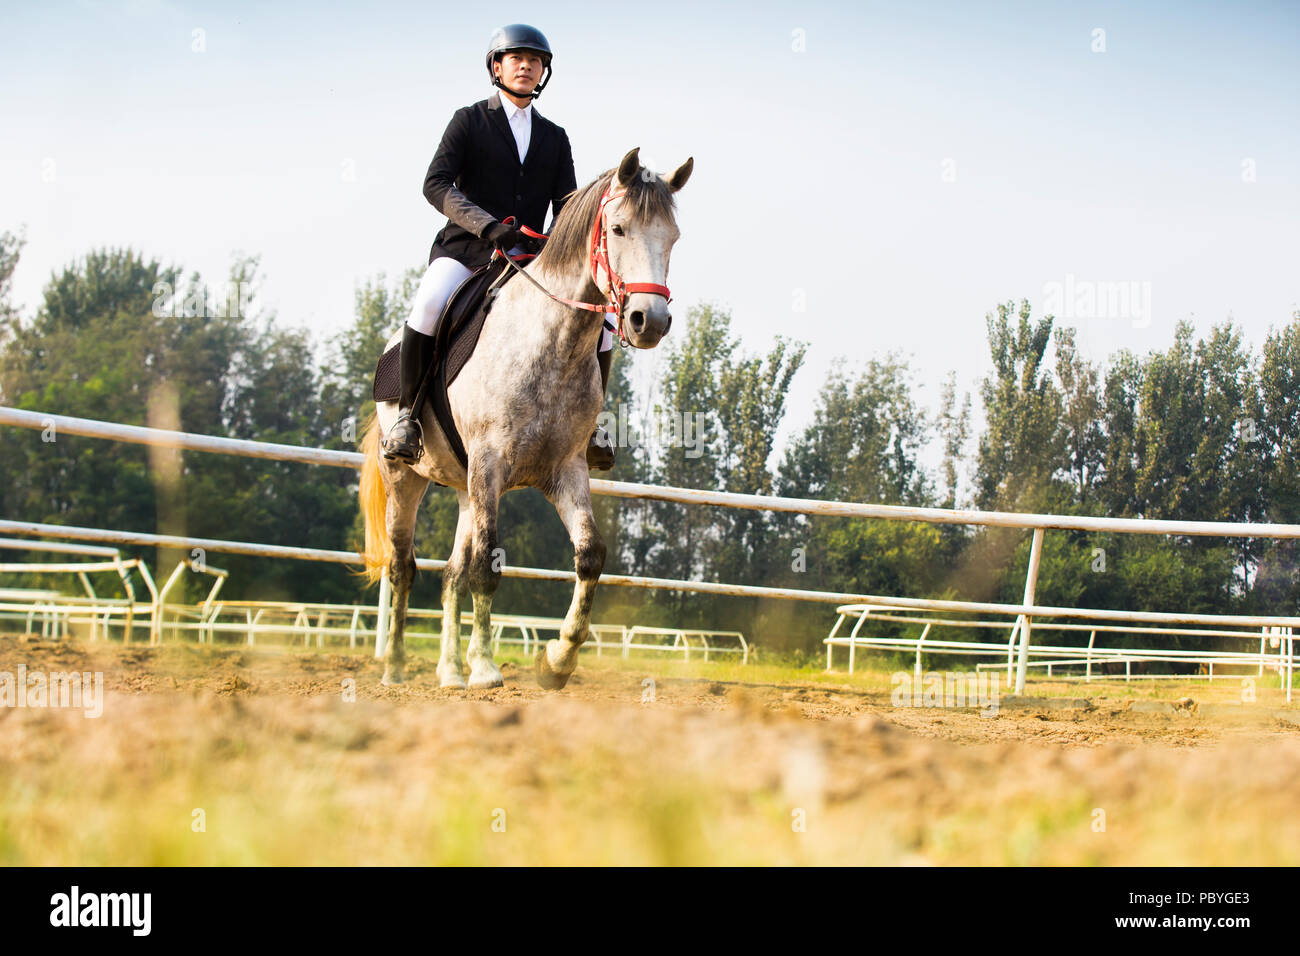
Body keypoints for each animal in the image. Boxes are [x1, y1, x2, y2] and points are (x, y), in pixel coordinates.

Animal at [359, 147, 693, 690]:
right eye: (618, 228)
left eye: (673, 237)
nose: (650, 322)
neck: (553, 342)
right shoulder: (490, 465)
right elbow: (487, 569)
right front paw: (486, 668)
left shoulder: (565, 472)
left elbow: (590, 557)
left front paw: (558, 660)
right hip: (406, 477)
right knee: (403, 567)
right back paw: (396, 666)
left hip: (465, 488)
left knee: (451, 575)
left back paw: (449, 671)